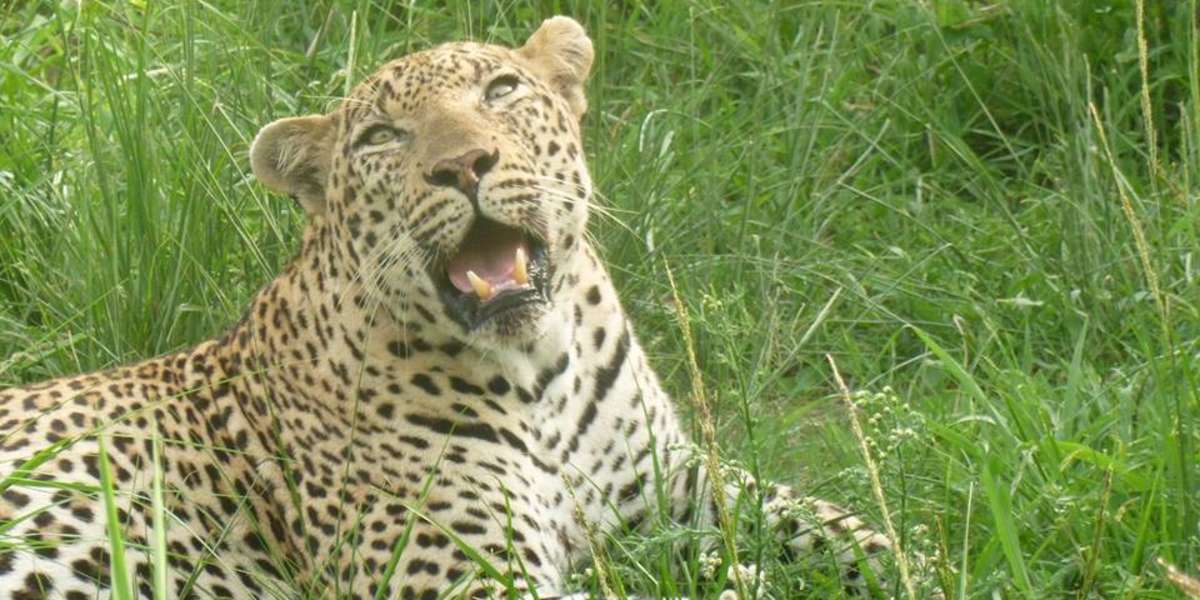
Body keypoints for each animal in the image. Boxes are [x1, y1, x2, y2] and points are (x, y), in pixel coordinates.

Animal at [0, 16, 893, 599]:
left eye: (501, 90)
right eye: (382, 138)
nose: (464, 164)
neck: (541, 376)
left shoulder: (679, 485)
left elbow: (845, 527)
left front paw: (912, 558)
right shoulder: (457, 575)